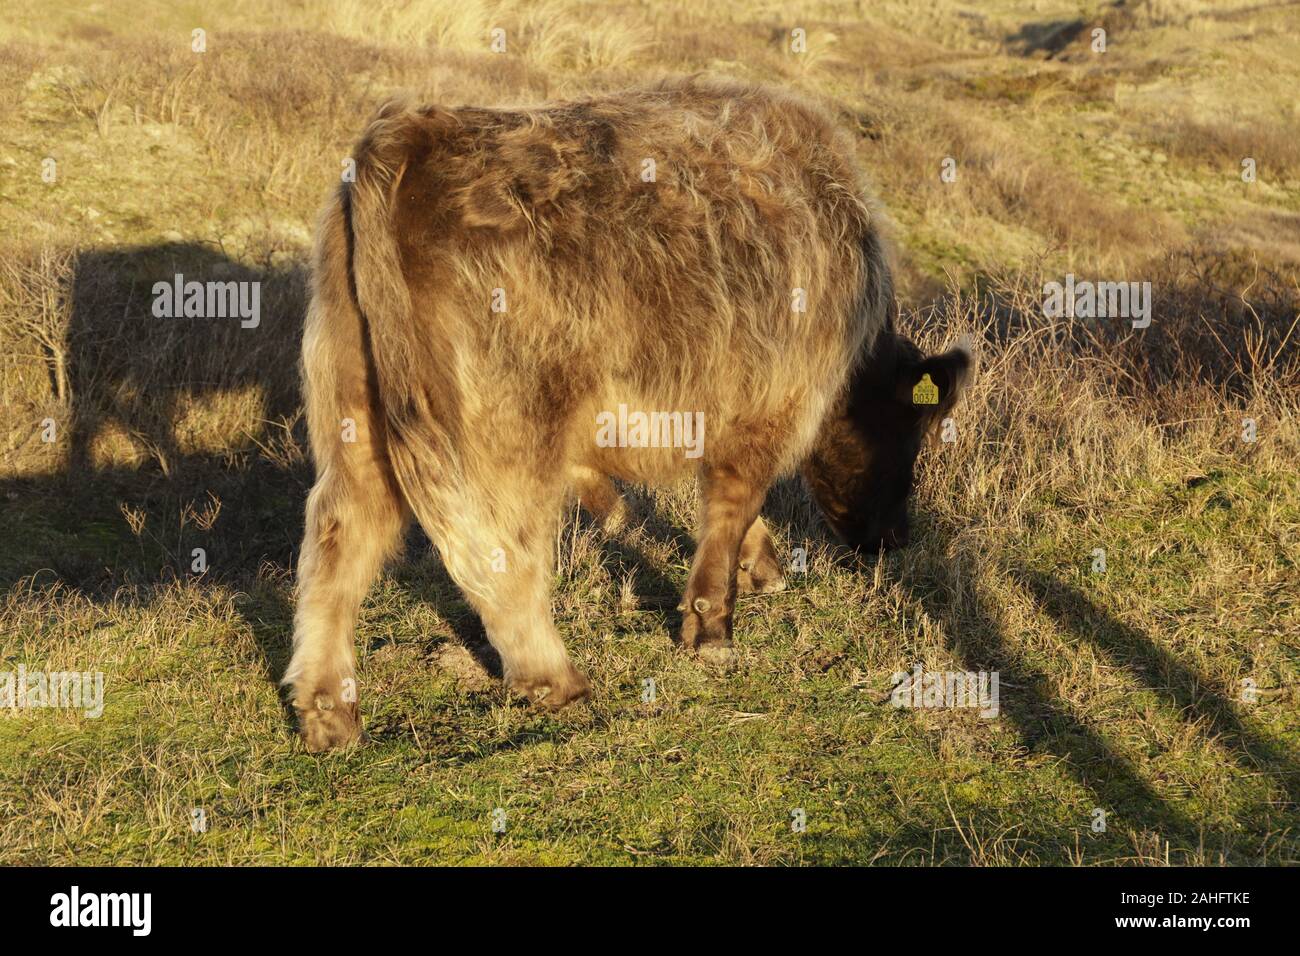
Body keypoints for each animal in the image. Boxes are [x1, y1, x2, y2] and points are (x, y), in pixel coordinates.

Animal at [283, 77, 971, 751]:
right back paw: (552, 678)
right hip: (505, 431)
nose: (894, 539)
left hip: (357, 417)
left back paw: (328, 712)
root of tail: (406, 132)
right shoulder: (766, 407)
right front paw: (712, 628)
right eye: (908, 439)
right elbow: (732, 507)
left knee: (339, 536)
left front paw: (760, 569)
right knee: (496, 546)